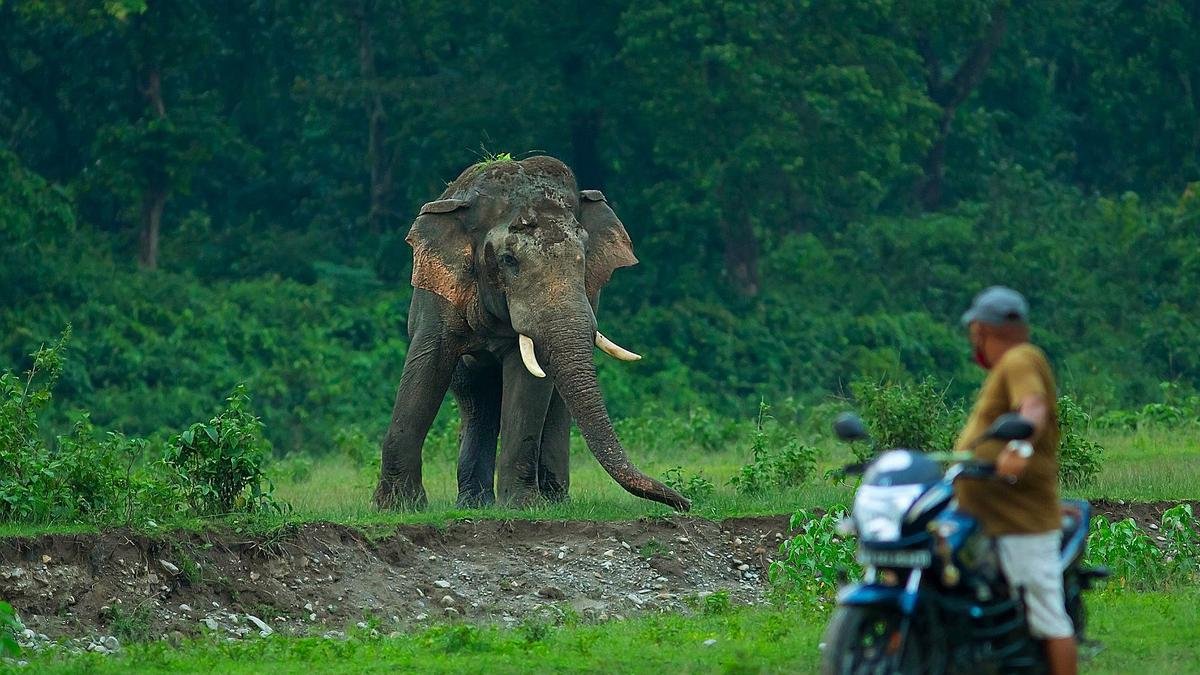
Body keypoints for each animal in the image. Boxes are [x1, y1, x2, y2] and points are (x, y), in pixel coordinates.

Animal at [373, 155, 689, 512]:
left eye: (583, 257)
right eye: (509, 259)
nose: (685, 503)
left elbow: (529, 383)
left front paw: (522, 507)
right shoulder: (438, 294)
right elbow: (425, 366)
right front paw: (397, 507)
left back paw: (552, 501)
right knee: (475, 400)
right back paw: (474, 504)